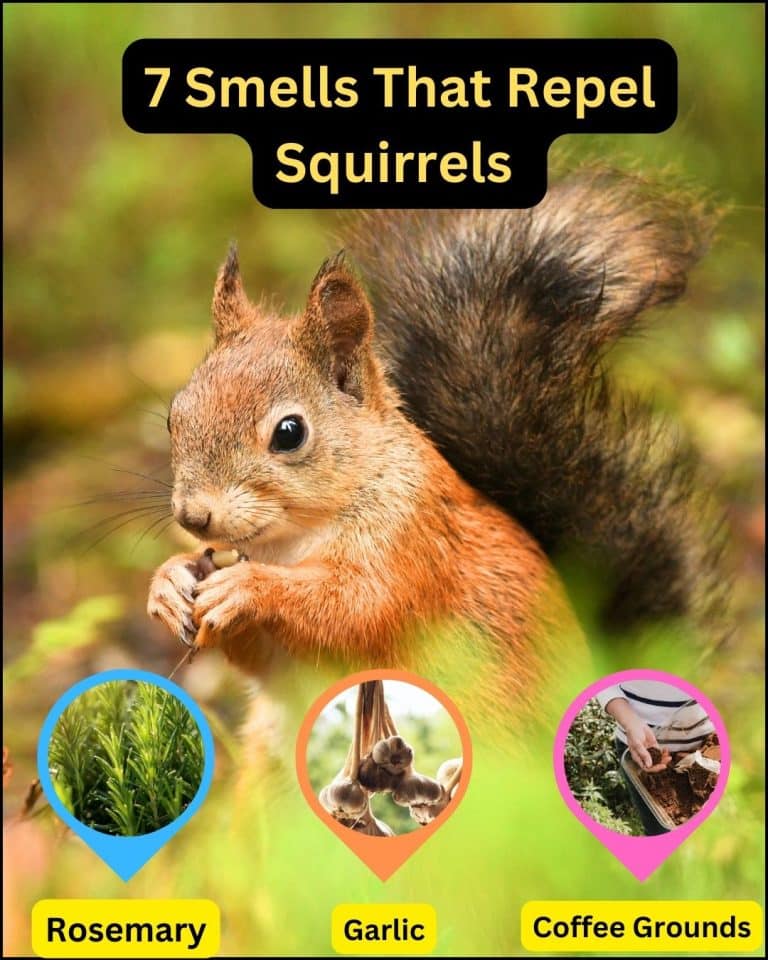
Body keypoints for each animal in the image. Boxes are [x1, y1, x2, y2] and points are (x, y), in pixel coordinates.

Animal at [148, 168, 724, 716]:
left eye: (290, 433)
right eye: (175, 416)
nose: (193, 516)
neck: (290, 541)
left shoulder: (414, 545)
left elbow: (357, 608)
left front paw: (250, 587)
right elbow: (259, 659)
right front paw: (170, 581)